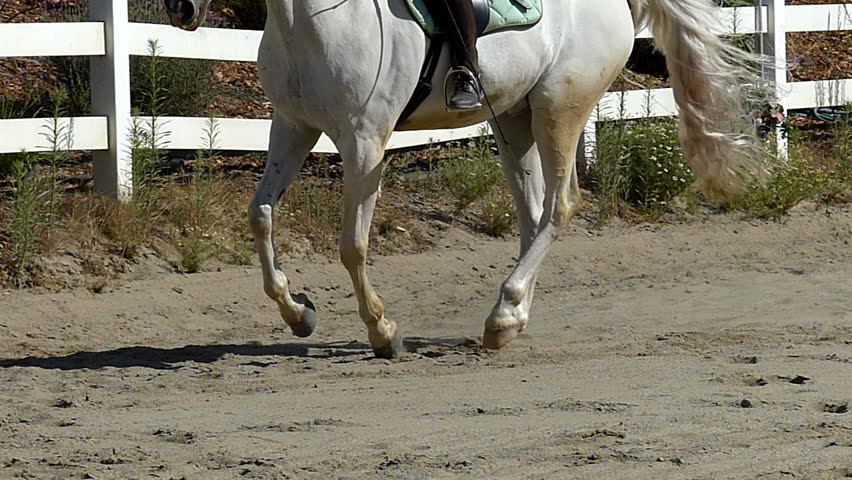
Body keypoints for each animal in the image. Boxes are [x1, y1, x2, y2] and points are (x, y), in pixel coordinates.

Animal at [163, 0, 758, 358]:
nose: (181, 9)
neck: (310, 20)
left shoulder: (363, 142)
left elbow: (353, 246)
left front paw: (382, 331)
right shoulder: (292, 127)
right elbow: (260, 215)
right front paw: (298, 314)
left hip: (560, 109)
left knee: (560, 206)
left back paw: (503, 314)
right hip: (515, 119)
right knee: (532, 214)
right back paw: (510, 318)